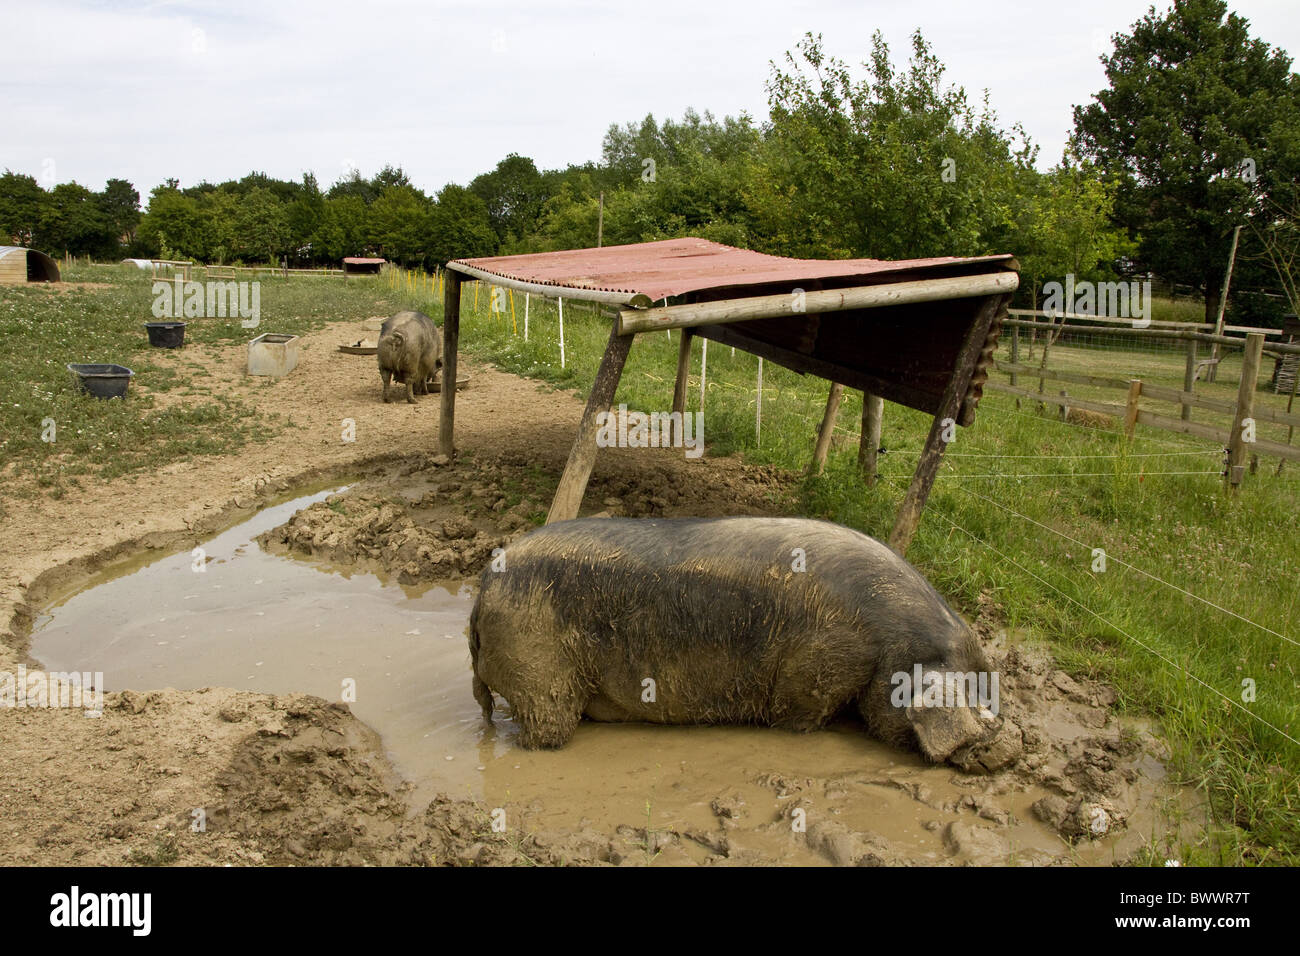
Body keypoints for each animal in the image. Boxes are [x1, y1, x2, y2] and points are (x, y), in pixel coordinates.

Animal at [469, 517, 1005, 765]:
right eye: (974, 701)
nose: (1006, 748)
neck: (889, 642)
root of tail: (484, 588)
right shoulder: (815, 674)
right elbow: (801, 720)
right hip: (539, 671)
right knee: (544, 729)